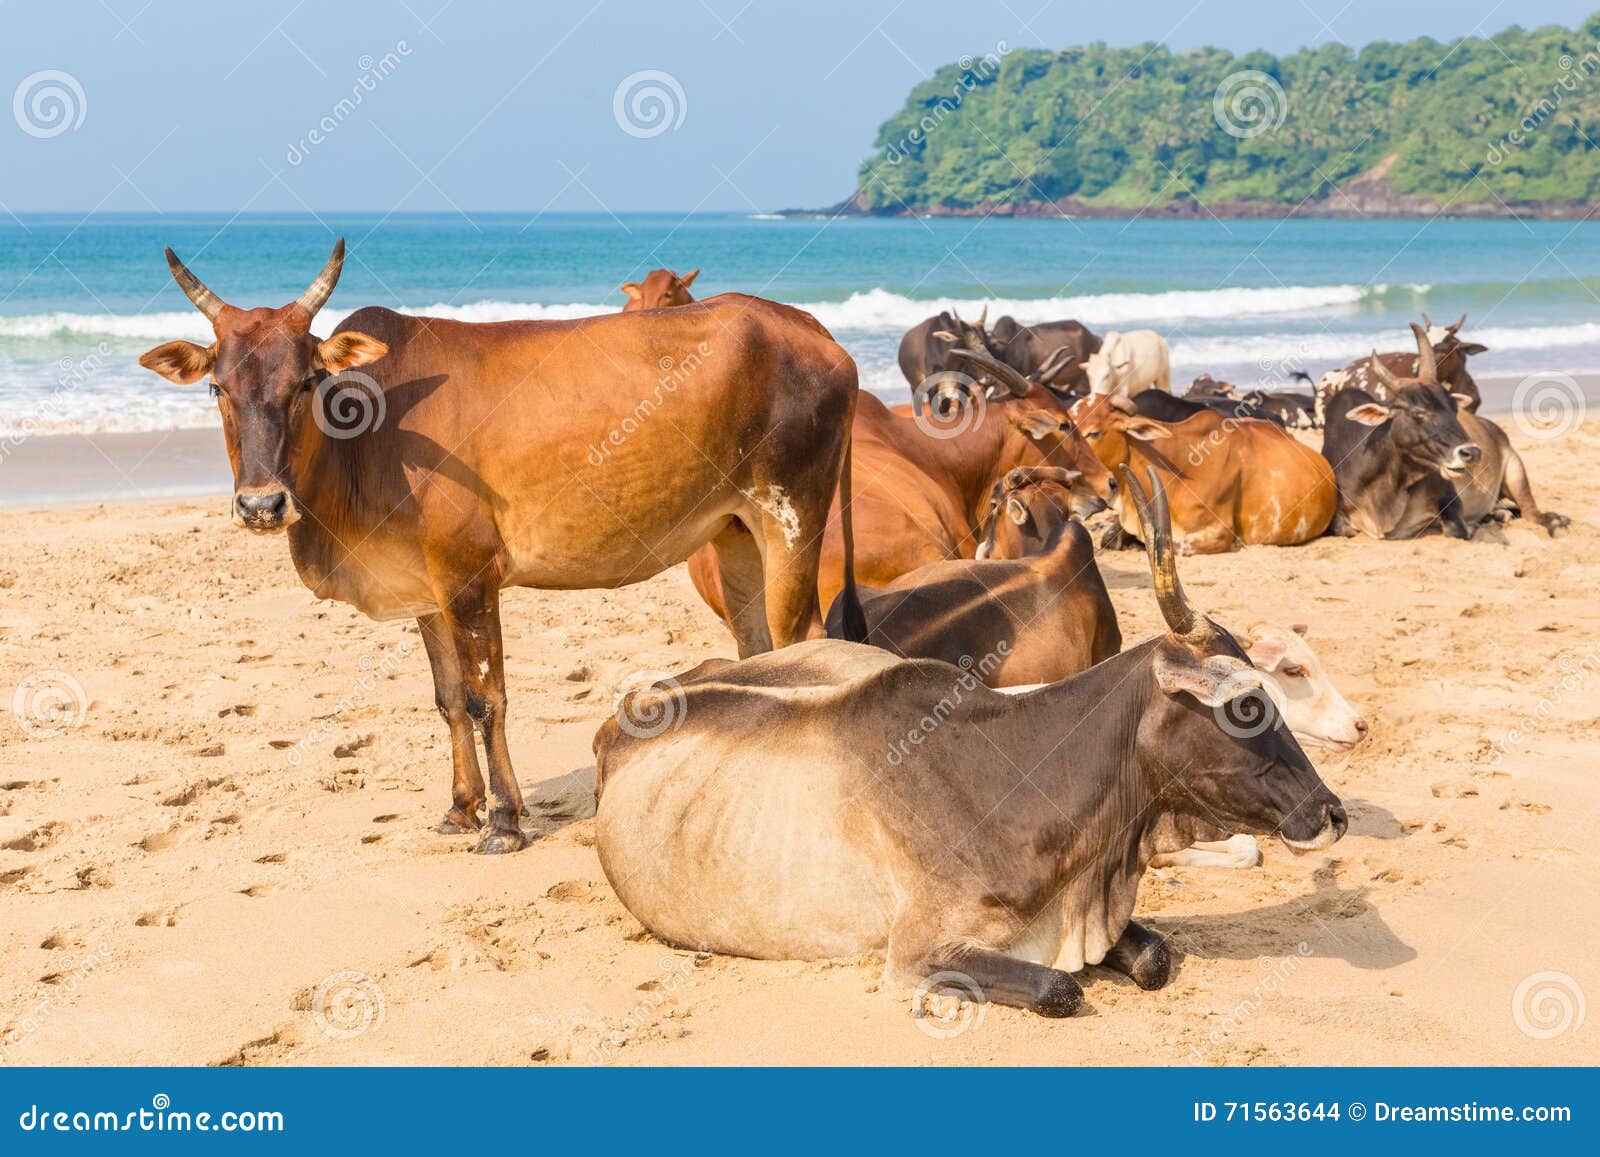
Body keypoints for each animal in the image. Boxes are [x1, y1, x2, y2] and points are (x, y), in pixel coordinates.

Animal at [138, 240, 859, 854]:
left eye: (306, 383)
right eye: (218, 388)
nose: (261, 504)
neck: (369, 432)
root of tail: (809, 327)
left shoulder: (468, 578)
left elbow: (488, 700)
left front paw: (506, 821)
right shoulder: (427, 590)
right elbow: (449, 700)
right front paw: (461, 809)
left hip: (791, 518)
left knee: (804, 638)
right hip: (735, 532)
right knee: (757, 647)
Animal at [1320, 325, 1486, 540]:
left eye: (1455, 409)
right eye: (1417, 412)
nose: (1471, 452)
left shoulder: (1449, 497)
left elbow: (1457, 529)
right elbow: (1343, 529)